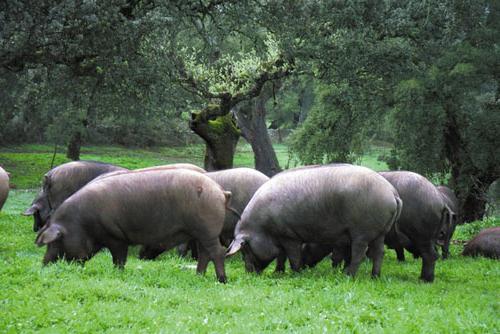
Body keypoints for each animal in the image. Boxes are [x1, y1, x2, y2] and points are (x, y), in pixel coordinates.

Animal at [35, 170, 230, 282]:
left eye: (57, 240)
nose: (43, 264)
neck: (83, 224)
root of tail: (220, 191)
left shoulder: (116, 237)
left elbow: (119, 259)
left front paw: (118, 274)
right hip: (200, 233)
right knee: (205, 254)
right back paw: (199, 276)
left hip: (207, 229)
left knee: (217, 252)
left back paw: (221, 280)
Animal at [227, 165, 402, 280]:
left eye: (245, 249)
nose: (248, 273)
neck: (262, 227)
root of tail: (392, 193)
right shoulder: (280, 237)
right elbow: (281, 256)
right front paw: (278, 273)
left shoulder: (289, 236)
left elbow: (292, 256)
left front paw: (296, 273)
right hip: (381, 232)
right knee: (379, 252)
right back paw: (374, 276)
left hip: (362, 231)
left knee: (359, 252)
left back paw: (348, 276)